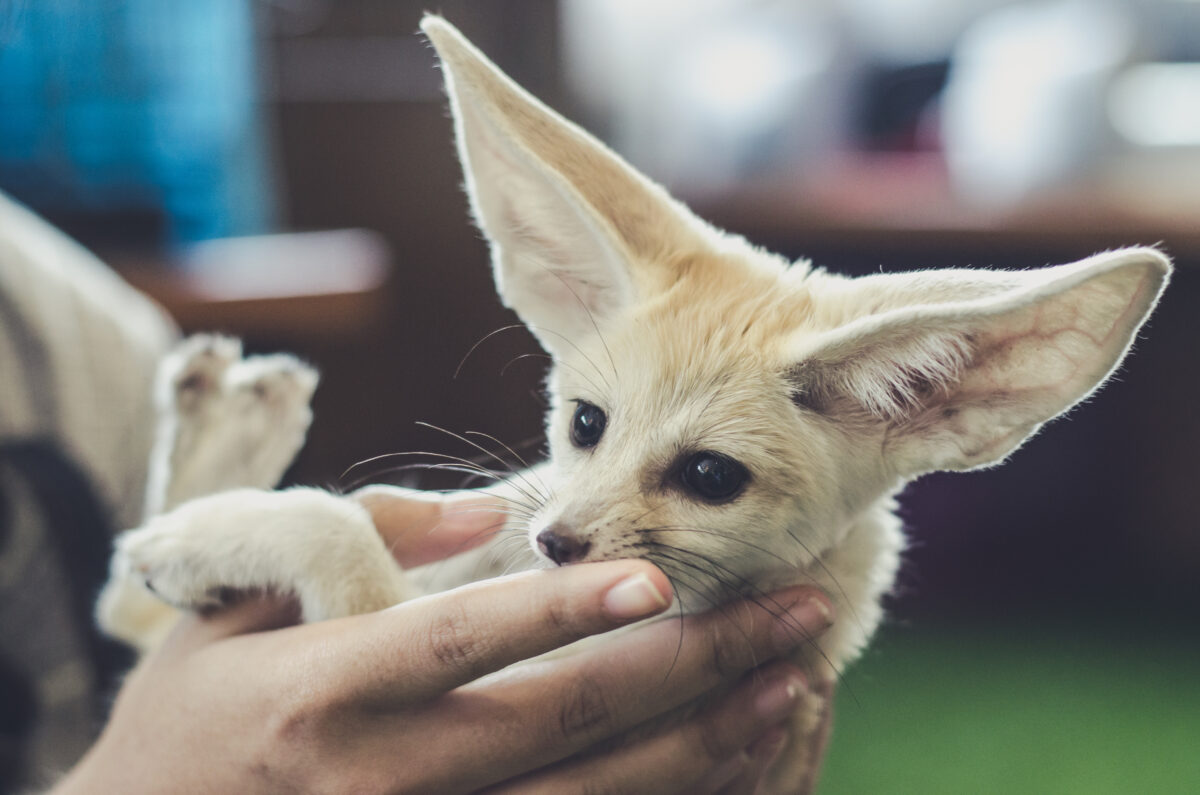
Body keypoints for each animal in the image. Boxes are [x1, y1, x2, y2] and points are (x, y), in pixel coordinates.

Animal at [97, 15, 1171, 791]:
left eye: (710, 476)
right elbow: (133, 600)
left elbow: (341, 536)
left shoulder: (406, 655)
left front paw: (217, 532)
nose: (556, 542)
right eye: (585, 423)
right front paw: (213, 505)